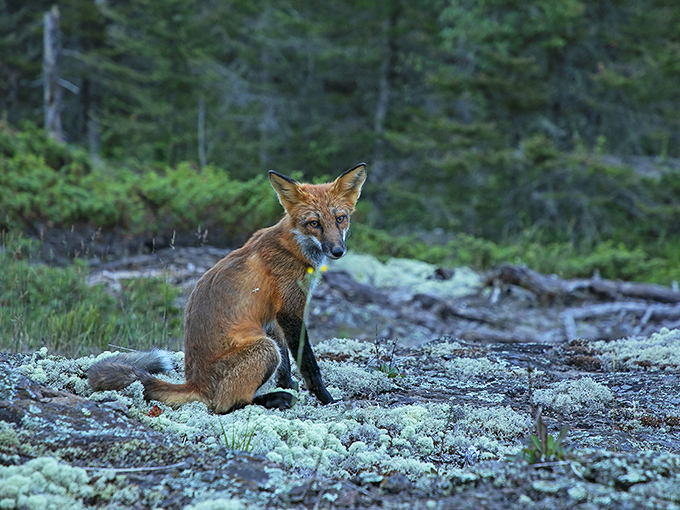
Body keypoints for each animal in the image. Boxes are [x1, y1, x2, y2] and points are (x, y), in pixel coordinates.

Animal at [88, 163, 367, 413]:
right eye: (314, 223)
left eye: (340, 219)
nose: (338, 251)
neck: (294, 248)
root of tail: (194, 383)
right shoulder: (290, 309)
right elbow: (308, 362)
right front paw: (325, 398)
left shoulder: (274, 317)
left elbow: (287, 366)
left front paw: (290, 385)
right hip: (265, 350)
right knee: (225, 404)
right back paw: (271, 399)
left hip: (265, 343)